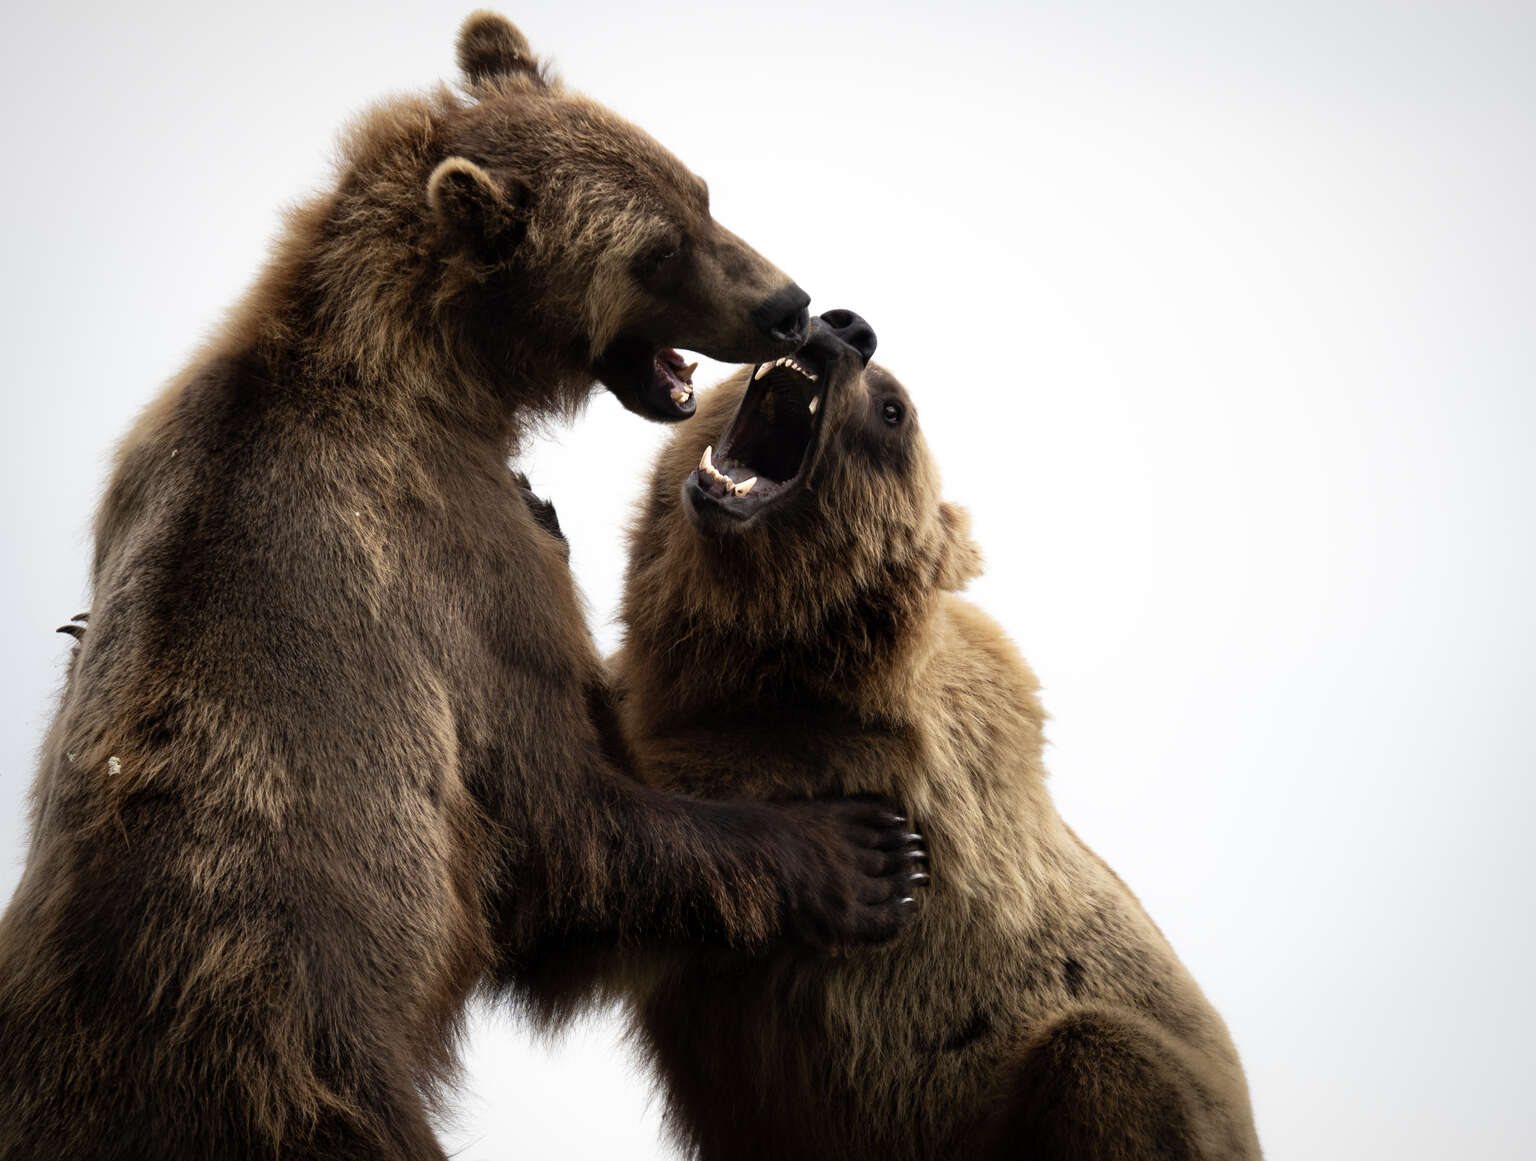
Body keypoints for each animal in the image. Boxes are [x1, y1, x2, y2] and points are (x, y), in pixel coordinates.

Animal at [0, 16, 925, 1161]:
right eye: (656, 251)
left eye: (698, 191)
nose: (791, 307)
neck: (435, 377)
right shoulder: (451, 573)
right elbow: (567, 815)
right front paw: (866, 854)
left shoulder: (148, 465)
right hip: (308, 1067)